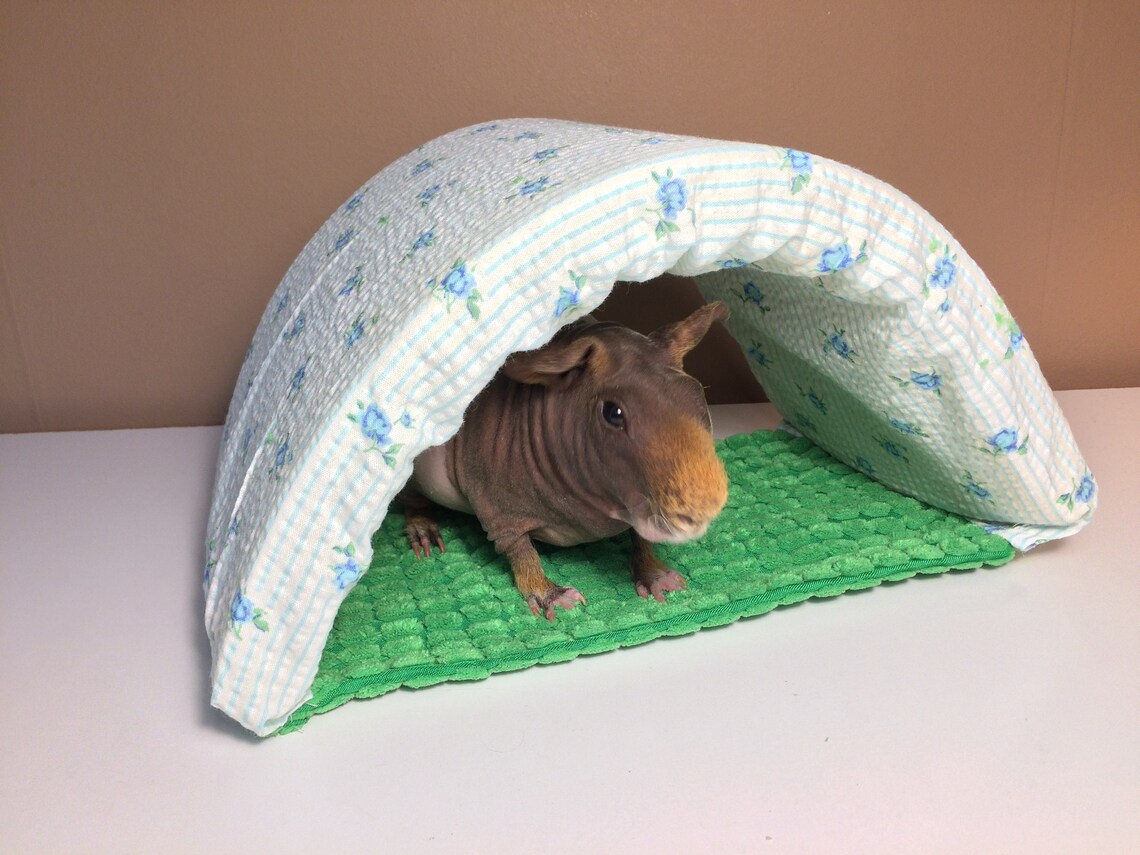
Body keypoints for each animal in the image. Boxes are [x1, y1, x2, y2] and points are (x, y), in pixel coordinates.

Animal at [400, 301, 731, 620]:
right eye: (613, 413)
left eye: (698, 394)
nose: (702, 514)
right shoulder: (496, 505)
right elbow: (518, 548)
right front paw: (549, 593)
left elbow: (641, 538)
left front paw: (654, 573)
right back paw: (422, 528)